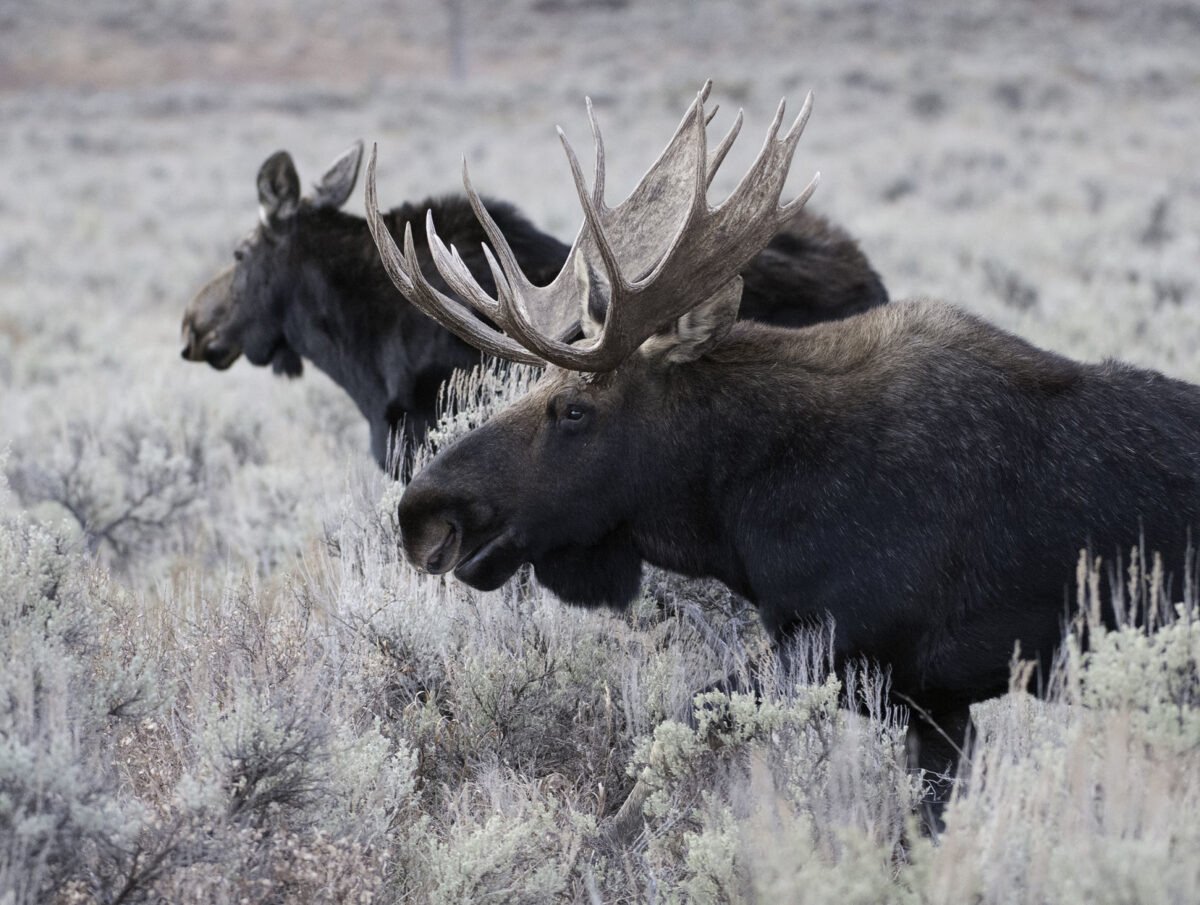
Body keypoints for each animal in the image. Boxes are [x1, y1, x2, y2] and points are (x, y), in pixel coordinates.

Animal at [369, 82, 1200, 827]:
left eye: (575, 408)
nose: (423, 512)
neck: (745, 507)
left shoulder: (851, 649)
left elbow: (696, 720)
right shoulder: (932, 697)